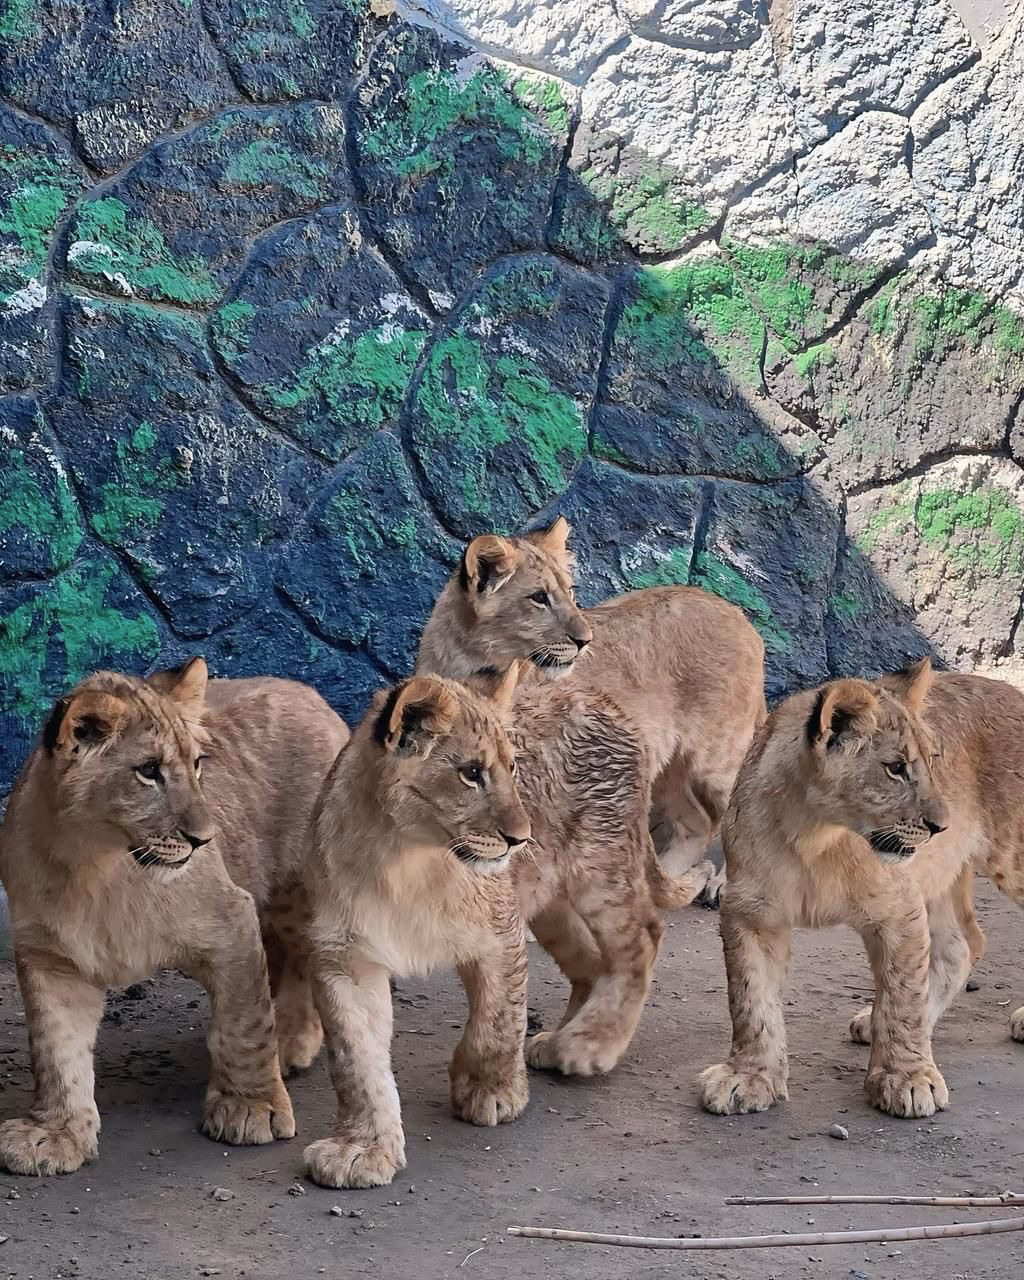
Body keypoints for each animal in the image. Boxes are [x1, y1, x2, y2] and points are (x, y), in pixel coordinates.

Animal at [0, 657, 348, 1175]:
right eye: (149, 772)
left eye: (198, 764)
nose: (205, 839)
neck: (93, 866)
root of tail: (309, 691)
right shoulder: (51, 957)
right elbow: (56, 1052)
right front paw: (55, 1134)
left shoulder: (231, 920)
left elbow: (243, 1025)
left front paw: (251, 1107)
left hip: (299, 890)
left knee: (303, 959)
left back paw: (292, 1039)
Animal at [299, 663, 704, 1189]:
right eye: (471, 773)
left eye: (512, 768)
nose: (521, 839)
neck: (401, 859)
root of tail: (603, 698)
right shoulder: (346, 960)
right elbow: (356, 1064)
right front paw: (362, 1148)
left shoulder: (499, 930)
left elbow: (498, 1018)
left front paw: (491, 1090)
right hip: (551, 904)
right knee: (592, 962)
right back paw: (566, 1034)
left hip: (600, 868)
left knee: (642, 938)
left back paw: (588, 1043)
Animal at [416, 516, 766, 902]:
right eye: (539, 597)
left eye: (570, 593)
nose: (585, 641)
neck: (469, 660)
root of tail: (741, 617)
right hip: (662, 763)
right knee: (696, 823)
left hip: (717, 759)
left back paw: (722, 883)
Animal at [698, 657, 1024, 1122]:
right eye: (896, 768)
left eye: (934, 760)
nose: (941, 826)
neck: (815, 835)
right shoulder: (750, 912)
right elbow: (751, 1000)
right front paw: (749, 1076)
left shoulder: (899, 908)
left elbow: (903, 995)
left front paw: (907, 1078)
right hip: (939, 874)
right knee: (961, 945)